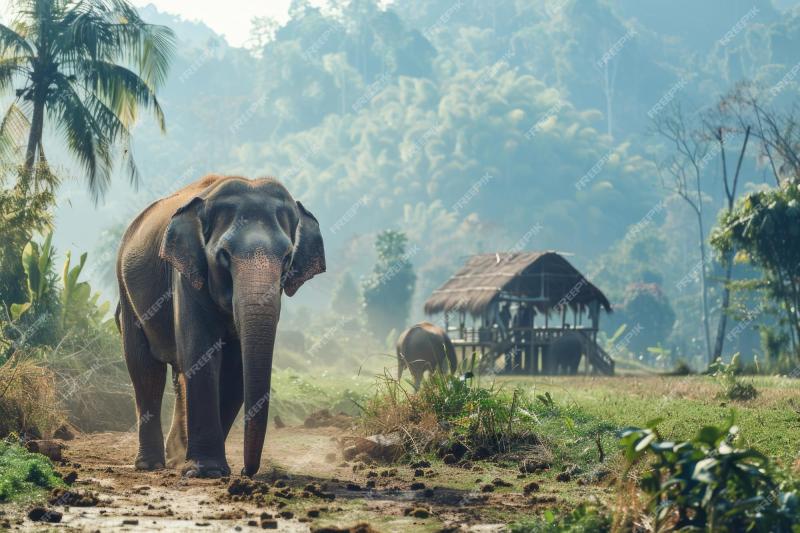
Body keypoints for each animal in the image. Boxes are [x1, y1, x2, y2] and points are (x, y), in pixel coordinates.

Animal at [116, 174, 325, 478]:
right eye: (224, 255)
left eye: (287, 257)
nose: (247, 472)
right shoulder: (185, 275)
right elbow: (201, 354)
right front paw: (206, 471)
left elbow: (236, 367)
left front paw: (203, 467)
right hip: (125, 288)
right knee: (145, 367)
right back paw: (150, 465)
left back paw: (177, 458)